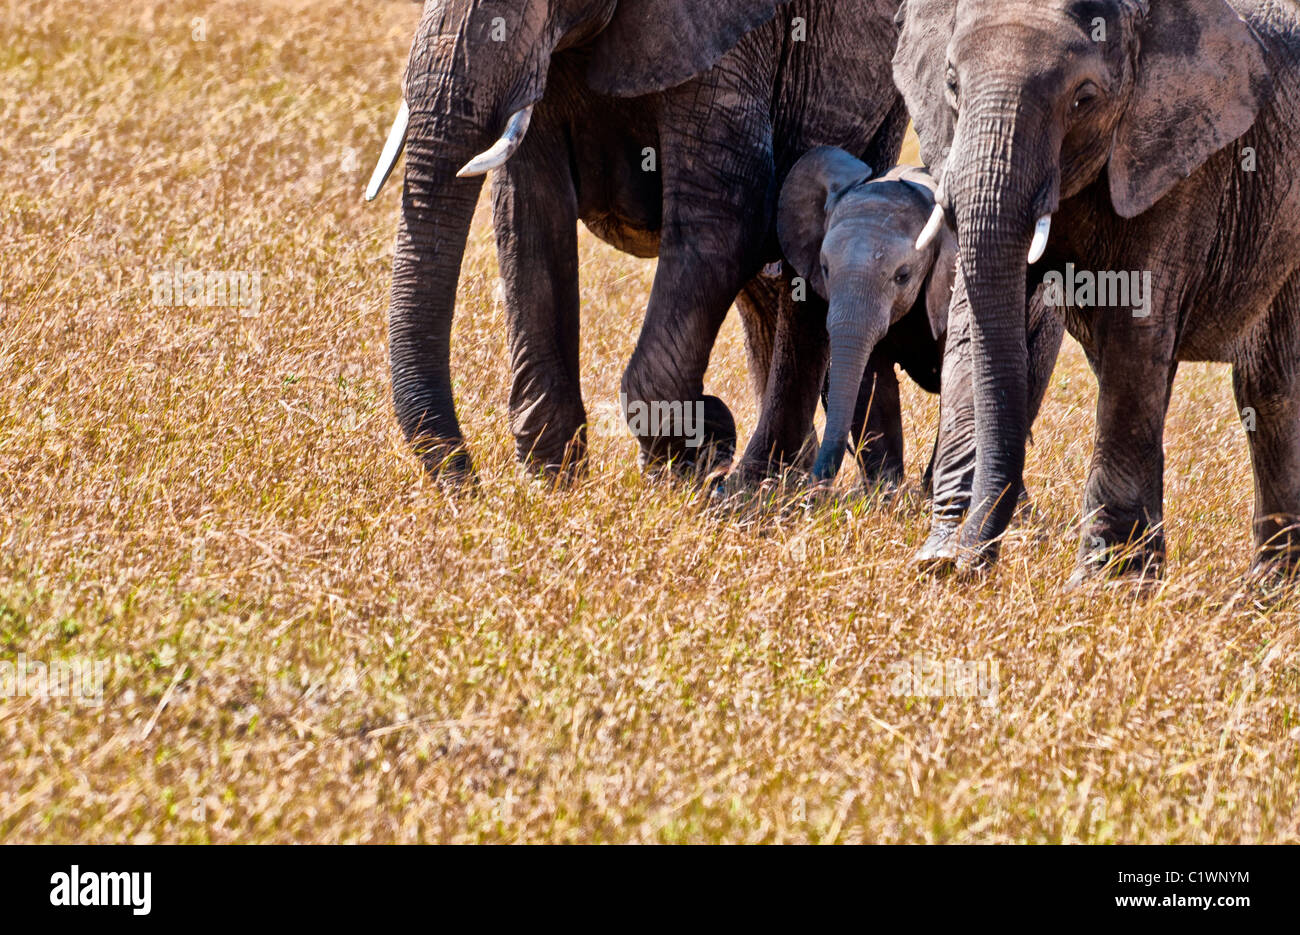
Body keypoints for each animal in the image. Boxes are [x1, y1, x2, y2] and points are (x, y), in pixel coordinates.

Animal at [366, 0, 909, 483]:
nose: (469, 486)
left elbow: (727, 206)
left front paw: (687, 459)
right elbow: (529, 212)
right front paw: (551, 487)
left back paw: (774, 490)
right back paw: (787, 485)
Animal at [893, 0, 1300, 582]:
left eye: (1083, 98)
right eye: (951, 83)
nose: (971, 564)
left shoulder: (1185, 162)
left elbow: (1135, 336)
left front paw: (1110, 586)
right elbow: (973, 328)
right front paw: (940, 559)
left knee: (1272, 385)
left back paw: (1267, 590)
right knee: (1266, 390)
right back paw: (1267, 590)